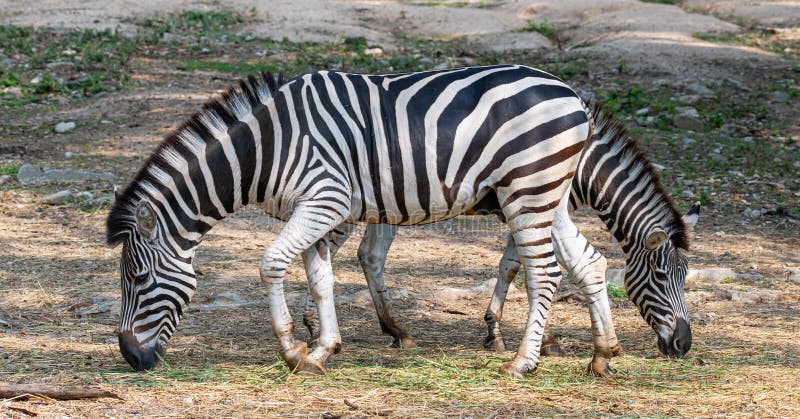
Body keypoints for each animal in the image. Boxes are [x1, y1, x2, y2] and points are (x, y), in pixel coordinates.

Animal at [108, 64, 600, 378]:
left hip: (527, 190)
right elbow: (320, 279)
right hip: (546, 194)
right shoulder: (313, 210)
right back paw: (603, 355)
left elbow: (272, 264)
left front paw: (292, 350)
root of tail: (569, 91)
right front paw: (322, 350)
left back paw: (522, 363)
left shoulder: (325, 200)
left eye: (139, 279)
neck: (268, 149)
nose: (129, 358)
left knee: (545, 271)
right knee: (588, 262)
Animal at [302, 108, 700, 376]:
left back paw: (386, 330)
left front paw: (509, 333)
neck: (584, 164)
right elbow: (521, 266)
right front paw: (518, 336)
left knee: (367, 255)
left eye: (684, 278)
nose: (683, 345)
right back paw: (316, 326)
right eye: (662, 278)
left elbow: (514, 265)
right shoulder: (535, 207)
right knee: (337, 247)